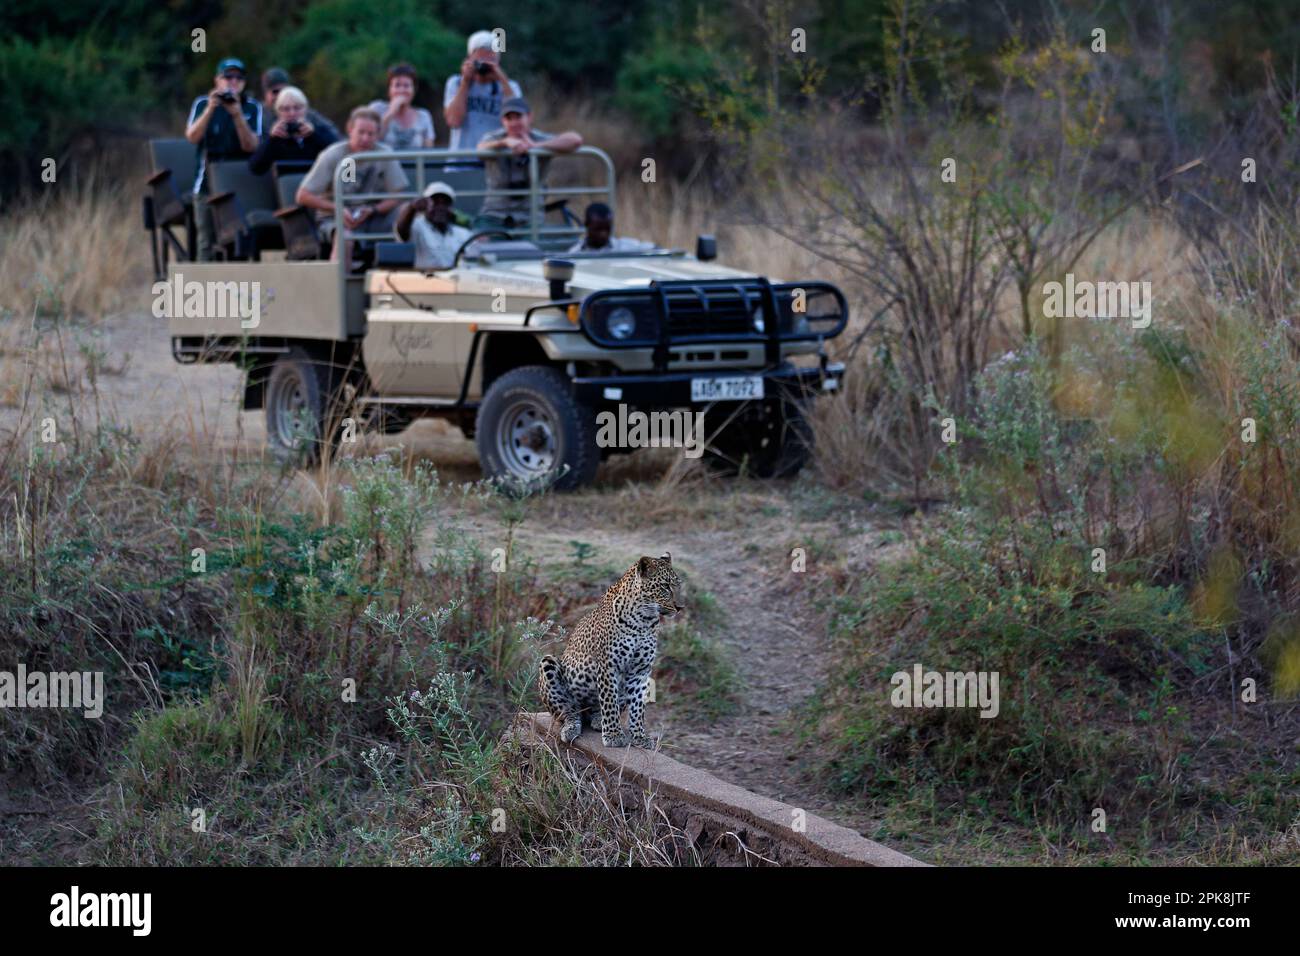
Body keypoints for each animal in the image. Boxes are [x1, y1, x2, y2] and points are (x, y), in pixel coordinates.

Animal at [538, 552, 683, 748]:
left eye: (677, 585)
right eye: (665, 586)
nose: (680, 607)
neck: (644, 621)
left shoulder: (641, 670)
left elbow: (638, 707)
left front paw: (639, 736)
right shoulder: (608, 665)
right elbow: (609, 701)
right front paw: (613, 735)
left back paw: (598, 720)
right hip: (549, 664)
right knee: (568, 712)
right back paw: (571, 729)